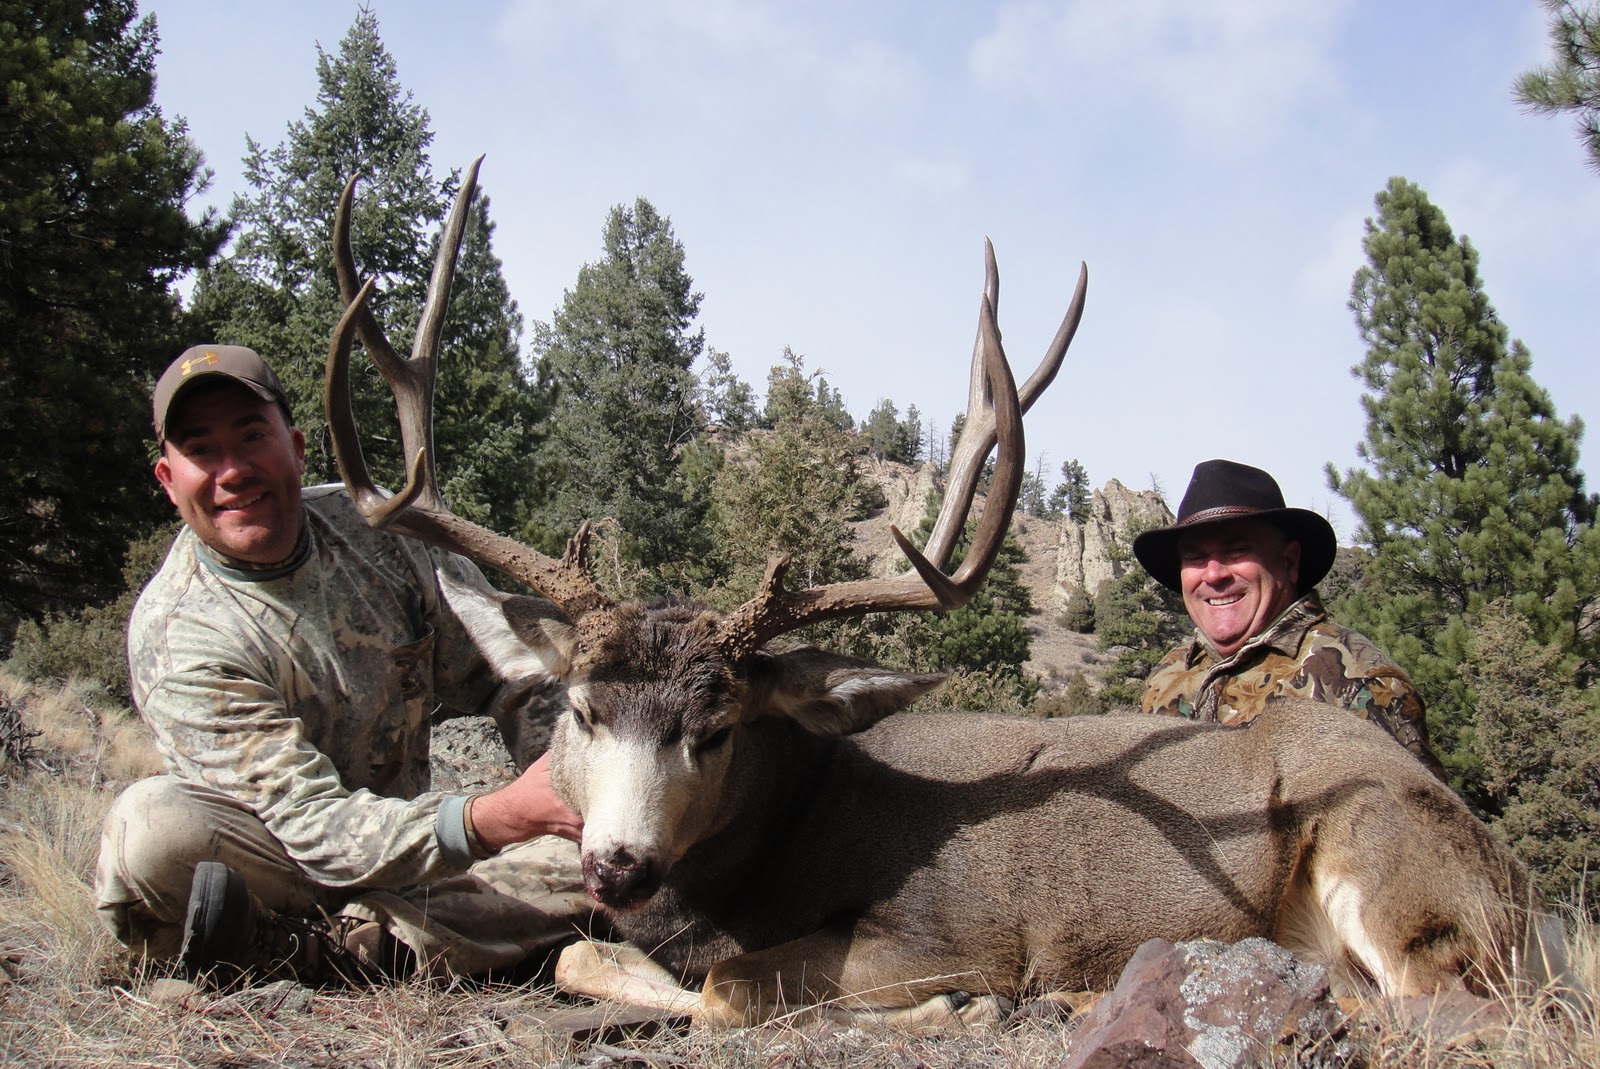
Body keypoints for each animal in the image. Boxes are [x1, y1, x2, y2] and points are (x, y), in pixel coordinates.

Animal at [325, 158, 1572, 1028]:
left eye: (716, 726)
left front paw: (951, 1006)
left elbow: (726, 988)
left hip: (1386, 853)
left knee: (1432, 999)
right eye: (581, 710)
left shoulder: (944, 926)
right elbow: (589, 952)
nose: (616, 861)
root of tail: (1522, 886)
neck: (783, 837)